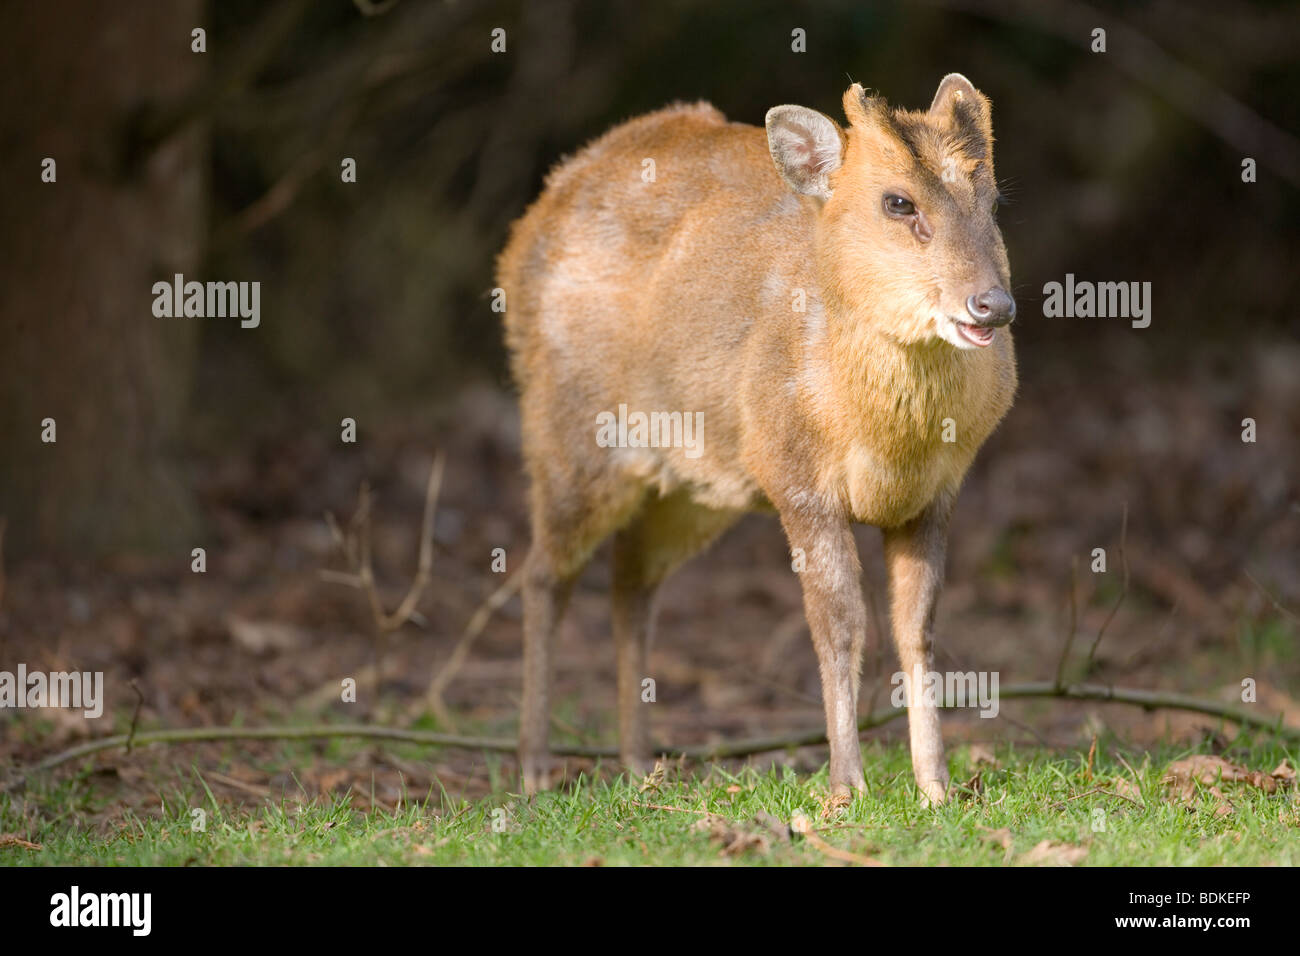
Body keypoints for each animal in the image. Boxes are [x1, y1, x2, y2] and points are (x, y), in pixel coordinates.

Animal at [497, 74, 1017, 806]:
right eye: (898, 202)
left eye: (994, 200)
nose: (993, 305)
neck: (886, 437)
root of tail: (520, 242)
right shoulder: (794, 476)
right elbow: (838, 624)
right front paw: (846, 787)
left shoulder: (935, 494)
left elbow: (917, 628)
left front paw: (935, 787)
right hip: (569, 434)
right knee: (543, 575)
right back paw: (536, 768)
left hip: (696, 488)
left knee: (631, 579)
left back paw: (640, 762)